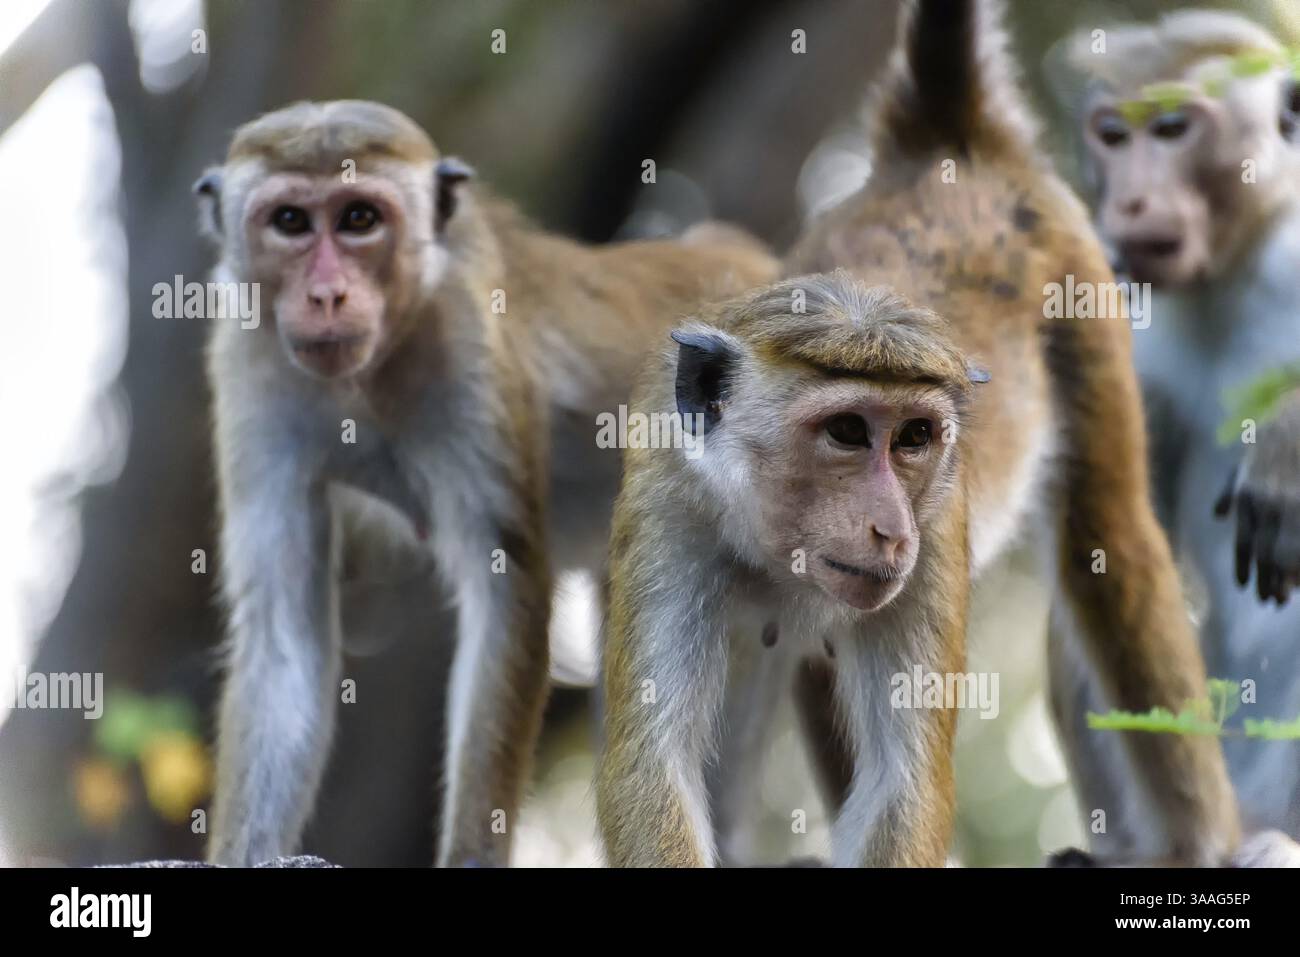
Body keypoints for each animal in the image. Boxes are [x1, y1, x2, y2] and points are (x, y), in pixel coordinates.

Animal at [195, 99, 778, 867]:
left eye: (359, 218)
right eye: (290, 221)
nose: (325, 293)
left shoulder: (469, 343)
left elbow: (507, 586)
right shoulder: (248, 357)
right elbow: (281, 634)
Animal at [596, 0, 1243, 867]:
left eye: (912, 438)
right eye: (845, 432)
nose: (888, 528)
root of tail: (943, 141)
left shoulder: (936, 528)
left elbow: (904, 783)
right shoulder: (668, 500)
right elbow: (654, 765)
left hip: (1081, 292)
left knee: (1106, 538)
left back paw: (1209, 844)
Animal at [1057, 9, 1300, 849]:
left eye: (1171, 129)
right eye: (1112, 137)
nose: (1128, 204)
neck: (1239, 266)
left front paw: (1283, 457)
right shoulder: (1135, 332)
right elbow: (1115, 533)